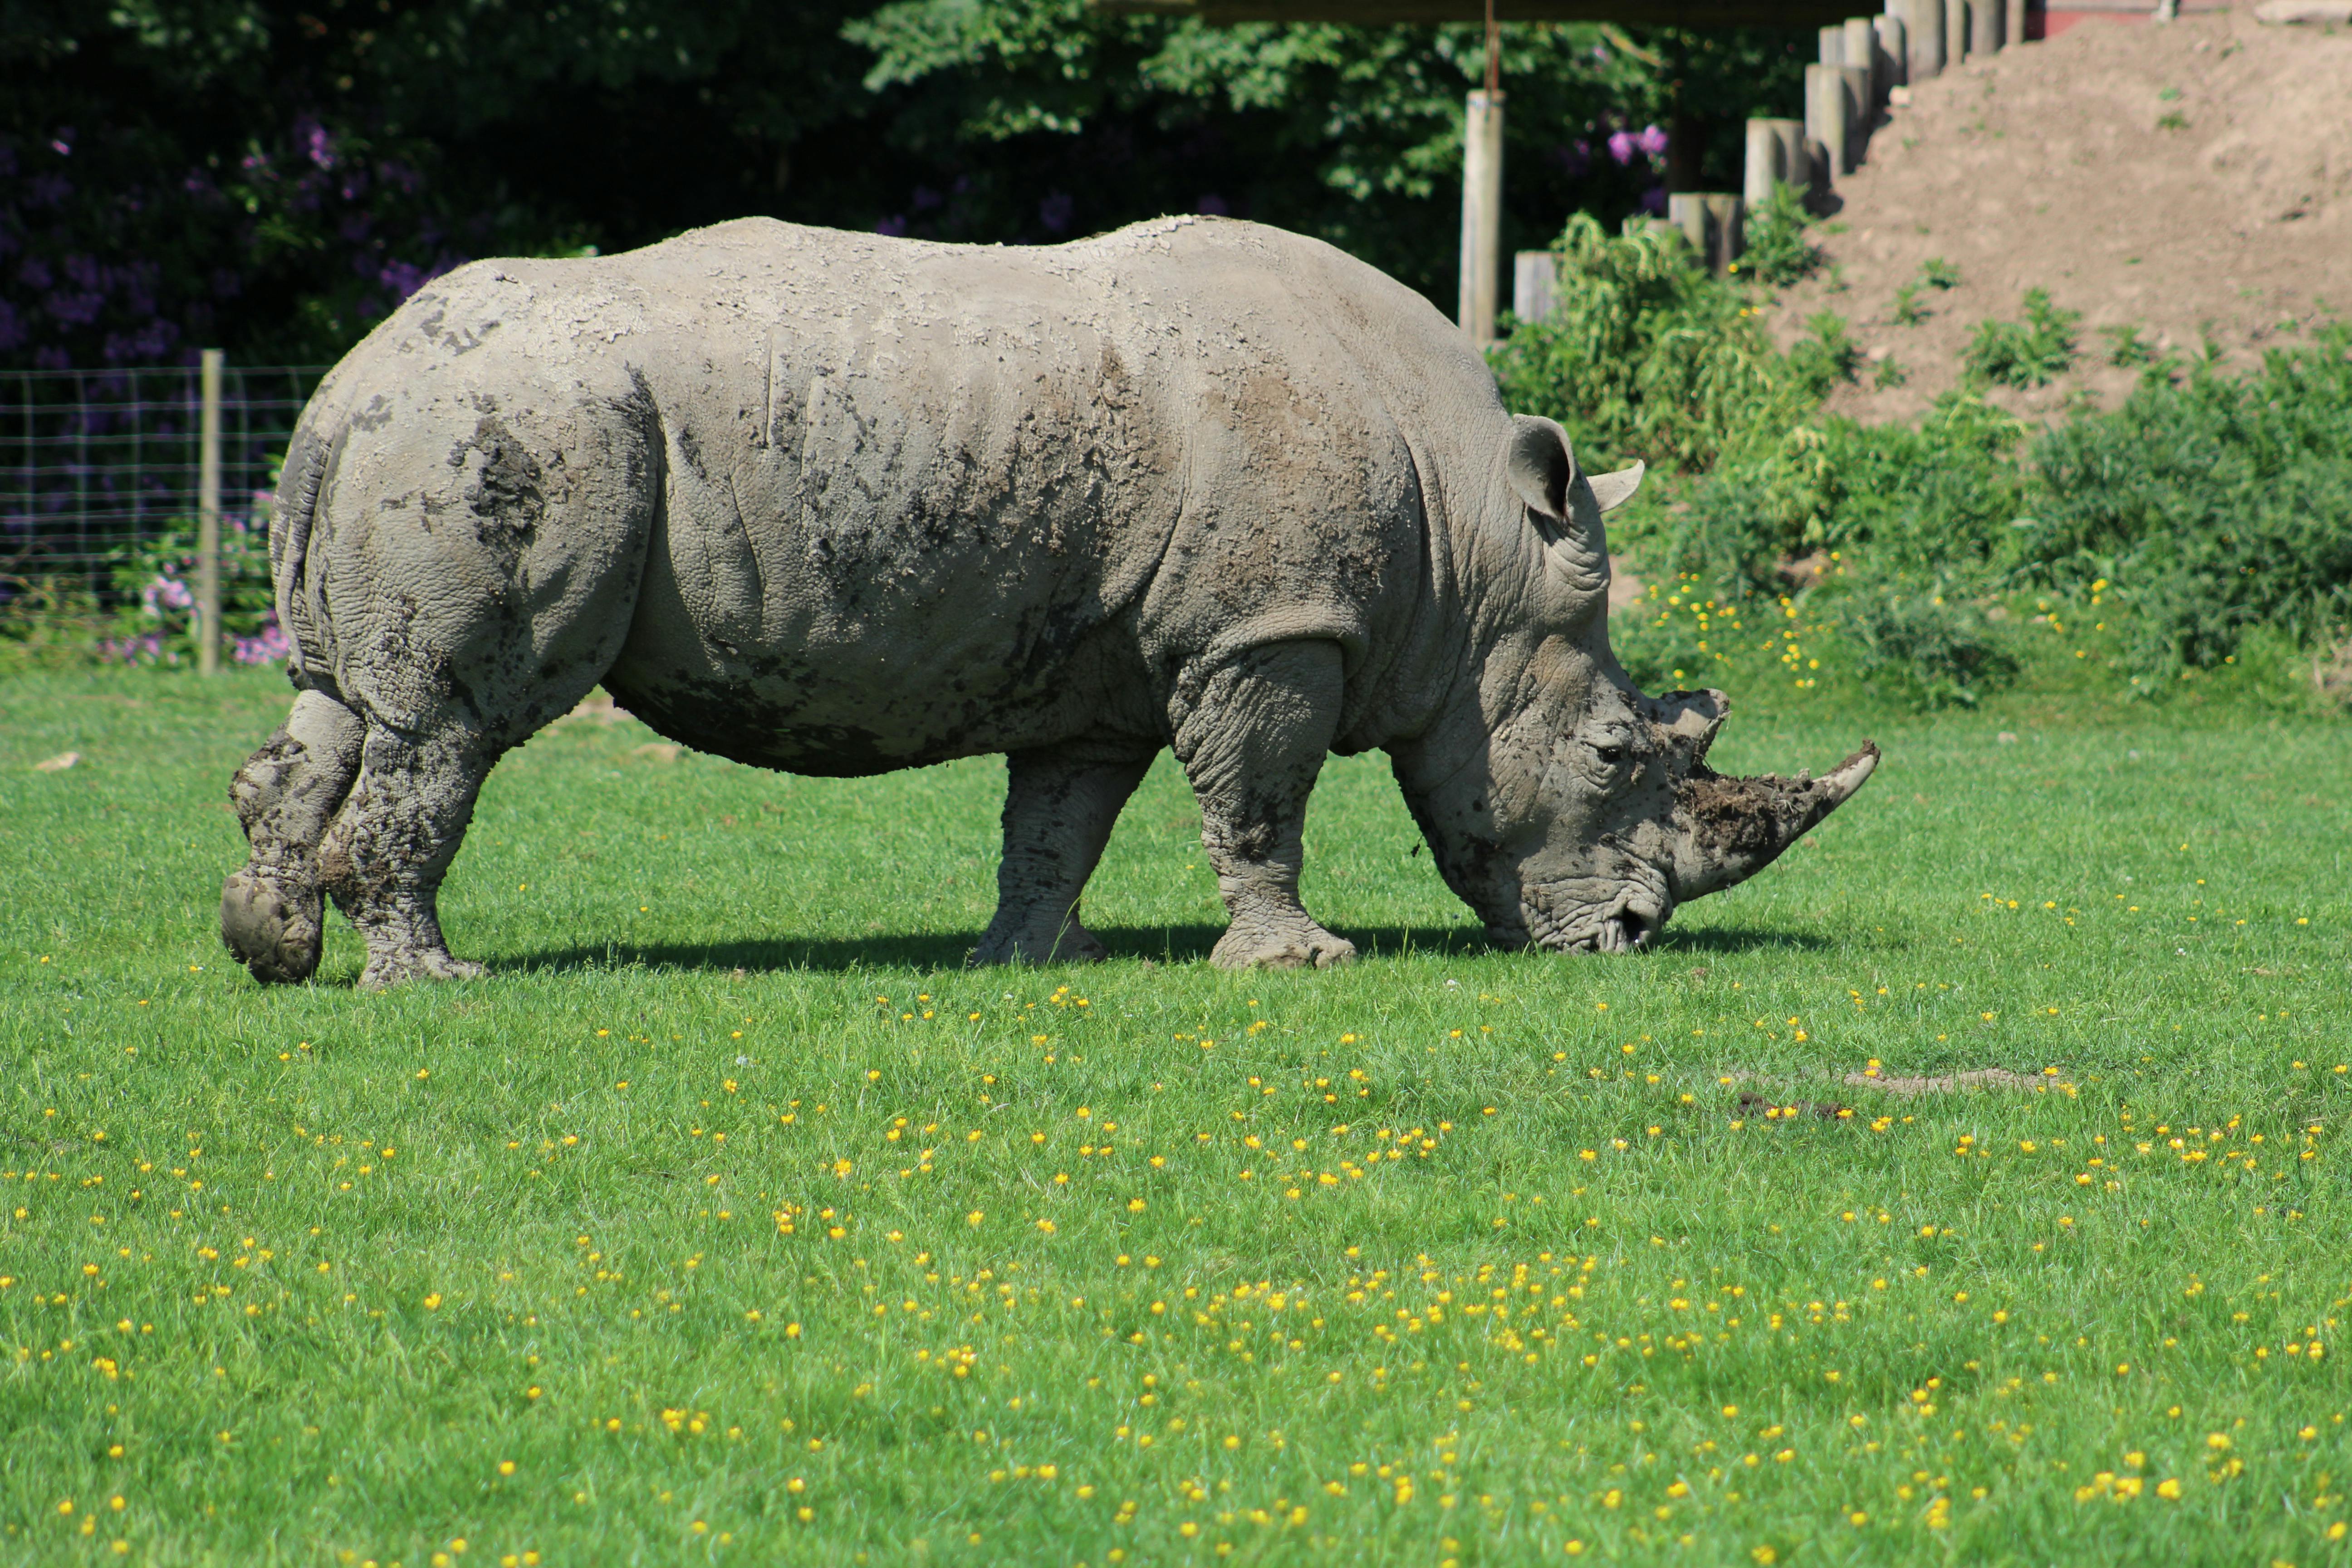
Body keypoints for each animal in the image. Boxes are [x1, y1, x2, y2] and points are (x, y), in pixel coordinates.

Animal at [220, 214, 1875, 988]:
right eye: (1616, 753)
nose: (1633, 939)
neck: (1471, 553)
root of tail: (341, 386)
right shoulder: (1268, 628)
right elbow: (1261, 802)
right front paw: (1300, 962)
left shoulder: (1110, 666)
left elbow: (1056, 822)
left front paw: (1023, 962)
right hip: (520, 431)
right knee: (450, 723)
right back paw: (437, 980)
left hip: (422, 433)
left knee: (334, 707)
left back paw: (272, 950)